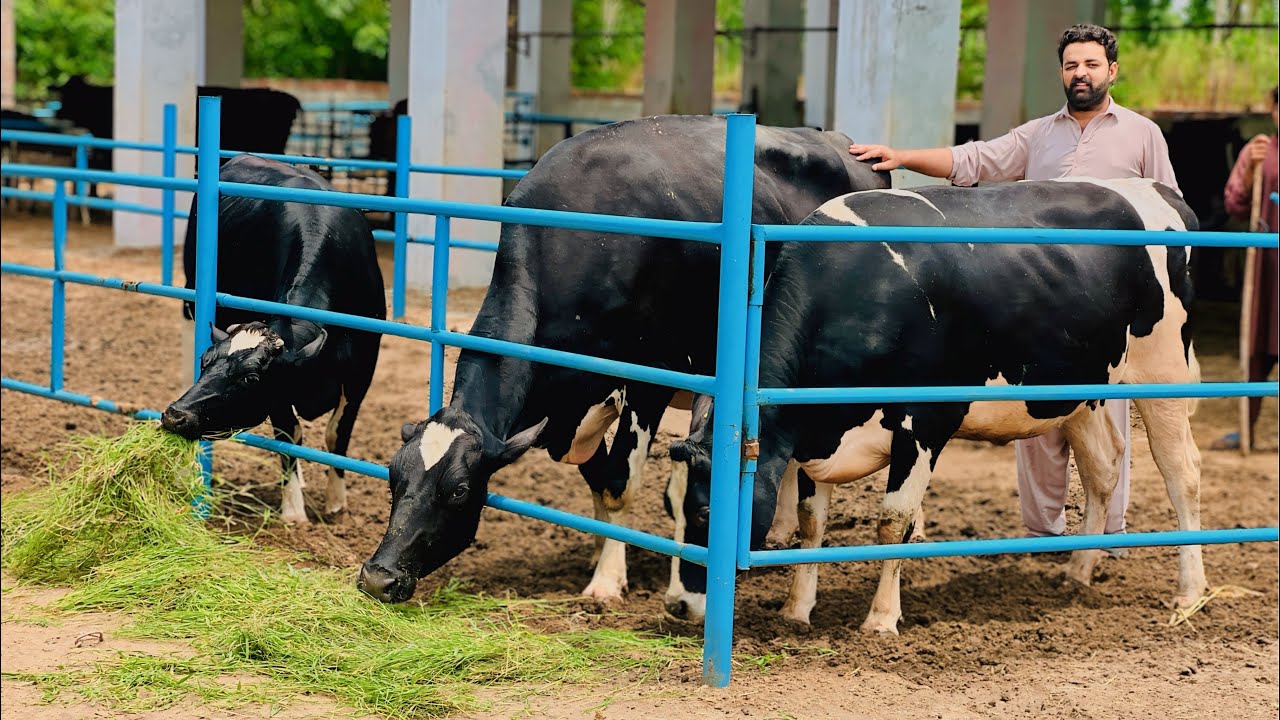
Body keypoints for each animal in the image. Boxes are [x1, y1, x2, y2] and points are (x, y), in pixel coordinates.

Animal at [159, 153, 386, 524]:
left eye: (251, 377)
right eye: (204, 362)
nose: (176, 415)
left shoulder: (362, 371)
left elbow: (338, 432)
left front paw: (336, 502)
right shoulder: (278, 389)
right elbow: (288, 433)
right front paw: (293, 510)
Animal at [356, 114, 890, 605]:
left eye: (460, 491)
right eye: (392, 477)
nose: (378, 577)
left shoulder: (649, 382)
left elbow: (618, 482)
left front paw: (608, 580)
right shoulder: (570, 404)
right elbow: (596, 478)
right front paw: (600, 551)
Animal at [664, 177, 1205, 635]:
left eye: (708, 510)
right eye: (671, 507)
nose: (676, 606)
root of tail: (1156, 189)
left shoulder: (924, 423)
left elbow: (894, 519)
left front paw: (881, 620)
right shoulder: (816, 435)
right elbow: (811, 522)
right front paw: (797, 610)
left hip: (1164, 372)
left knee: (1182, 473)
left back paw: (1189, 592)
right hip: (1077, 390)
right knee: (1103, 467)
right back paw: (1077, 571)